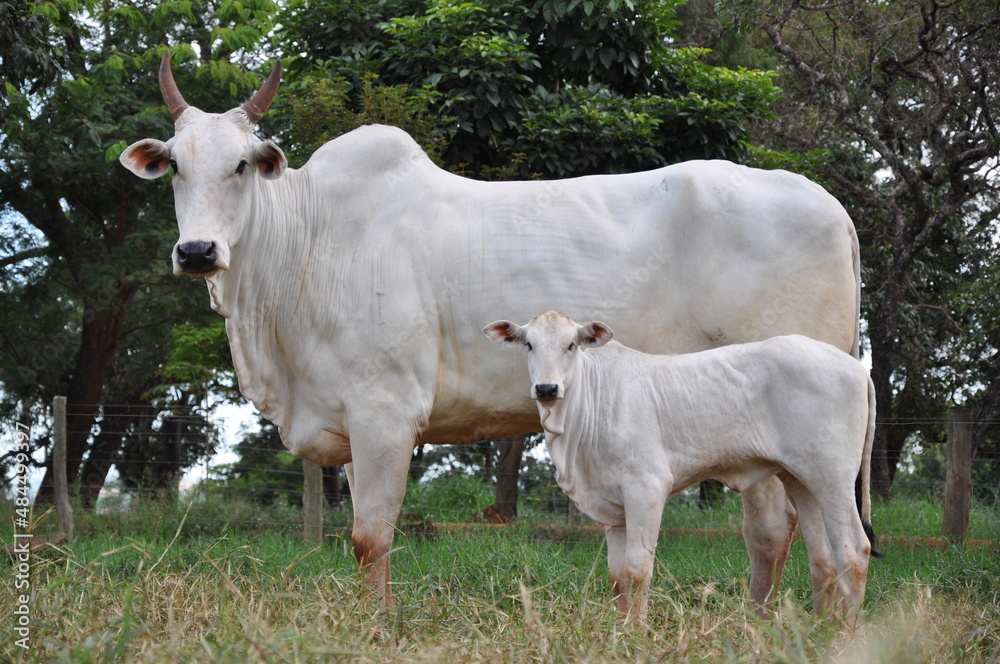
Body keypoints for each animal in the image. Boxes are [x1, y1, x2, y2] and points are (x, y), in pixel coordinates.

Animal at [485, 311, 876, 622]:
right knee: (823, 560)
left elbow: (637, 571)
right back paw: (820, 631)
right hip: (800, 478)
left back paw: (845, 636)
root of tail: (856, 367)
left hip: (834, 477)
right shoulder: (615, 507)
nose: (546, 388)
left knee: (854, 552)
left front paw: (637, 634)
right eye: (529, 345)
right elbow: (617, 577)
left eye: (571, 345)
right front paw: (620, 631)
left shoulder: (646, 489)